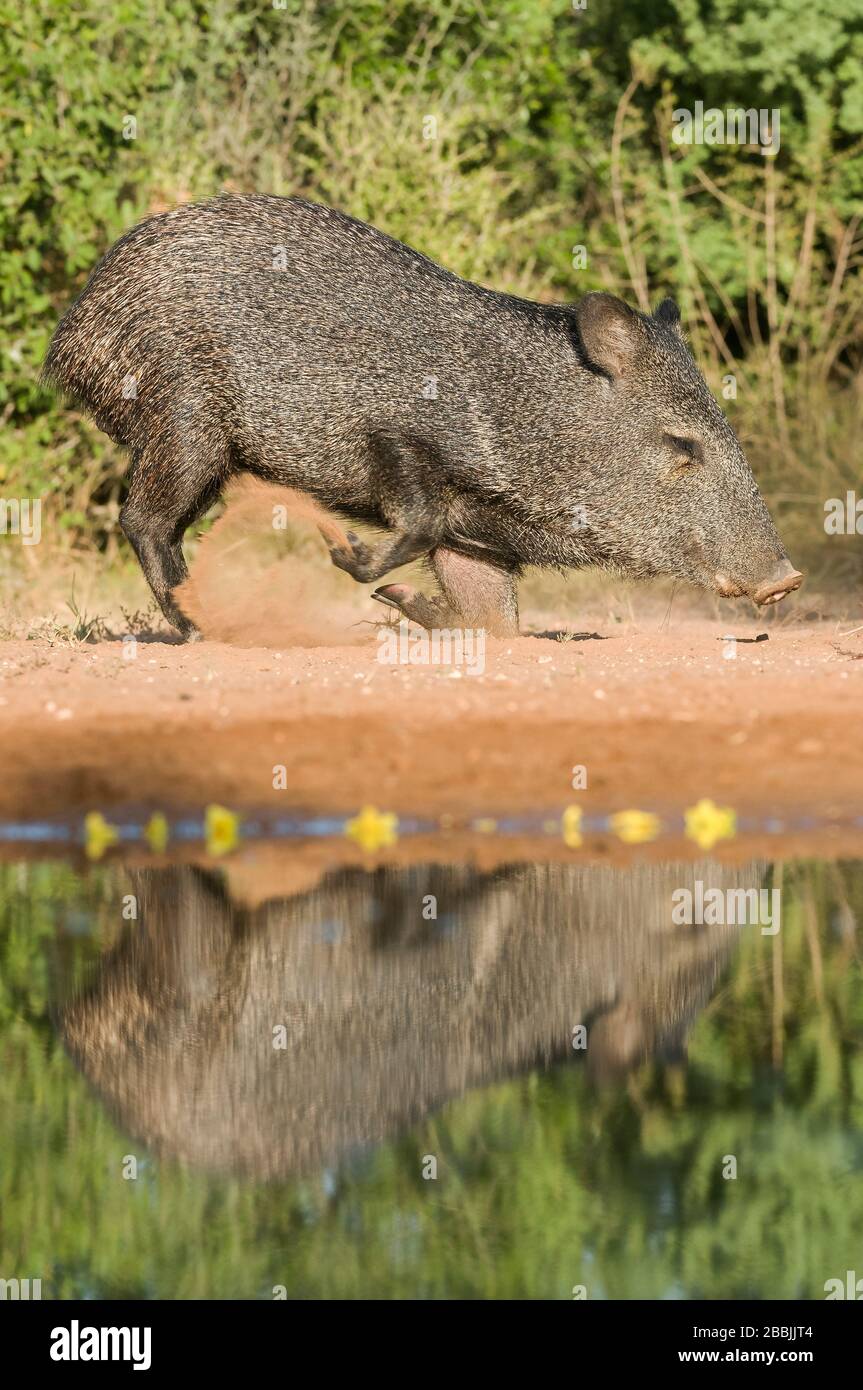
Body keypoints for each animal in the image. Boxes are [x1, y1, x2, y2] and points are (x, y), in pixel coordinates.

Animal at [43, 194, 801, 638]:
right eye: (682, 445)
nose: (786, 579)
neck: (518, 410)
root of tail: (72, 338)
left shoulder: (480, 536)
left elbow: (492, 614)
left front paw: (414, 606)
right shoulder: (395, 440)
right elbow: (413, 524)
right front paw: (357, 564)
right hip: (186, 420)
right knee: (143, 522)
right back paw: (195, 624)